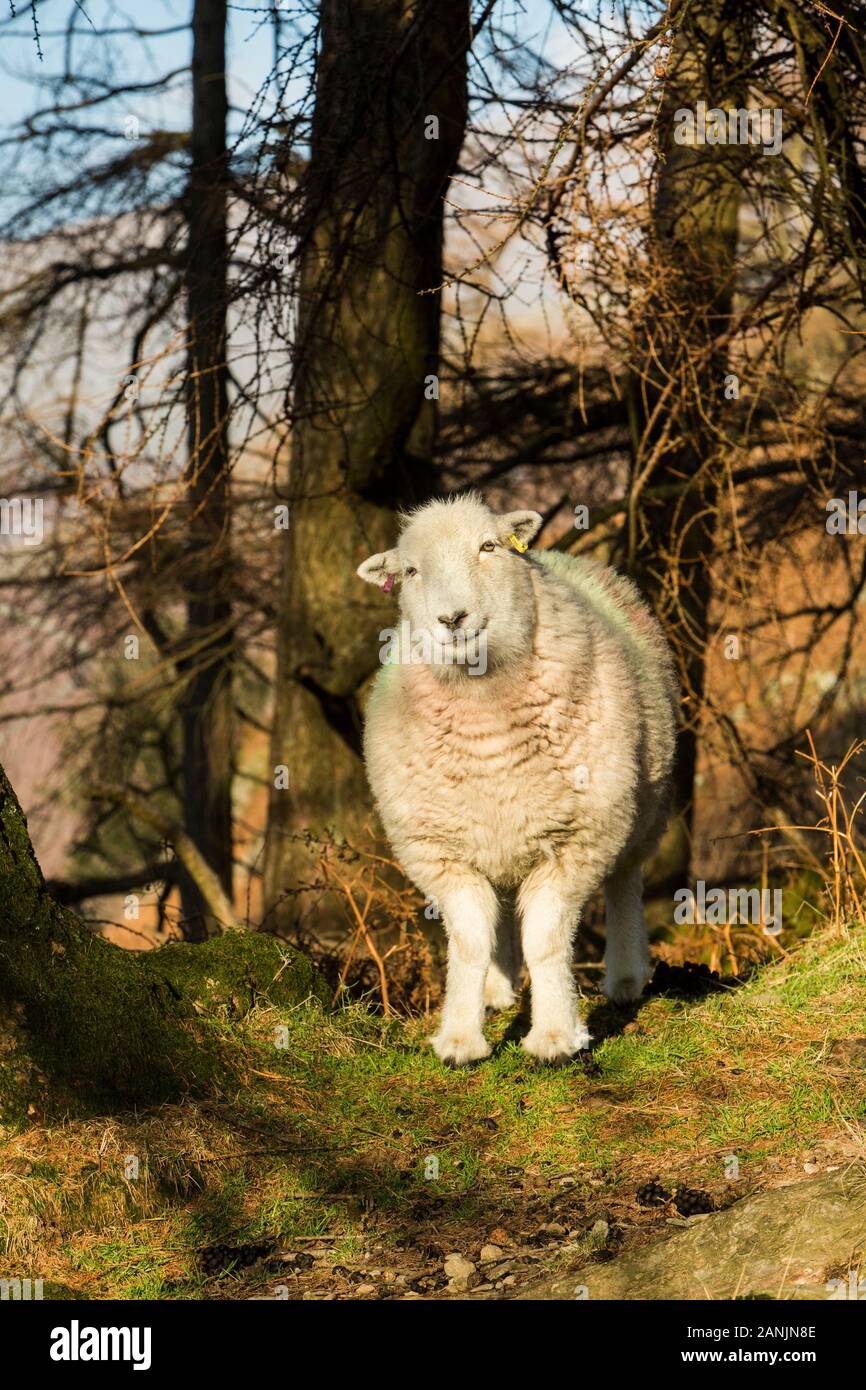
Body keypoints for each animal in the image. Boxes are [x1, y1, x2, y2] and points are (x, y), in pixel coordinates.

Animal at [356, 494, 678, 1066]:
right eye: (411, 571)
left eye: (489, 547)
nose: (452, 618)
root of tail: (552, 551)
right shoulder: (439, 850)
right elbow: (469, 940)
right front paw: (460, 1039)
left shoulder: (577, 840)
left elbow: (546, 937)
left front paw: (554, 1037)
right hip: (497, 834)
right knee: (502, 911)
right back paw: (496, 992)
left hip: (642, 808)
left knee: (624, 883)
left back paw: (624, 978)